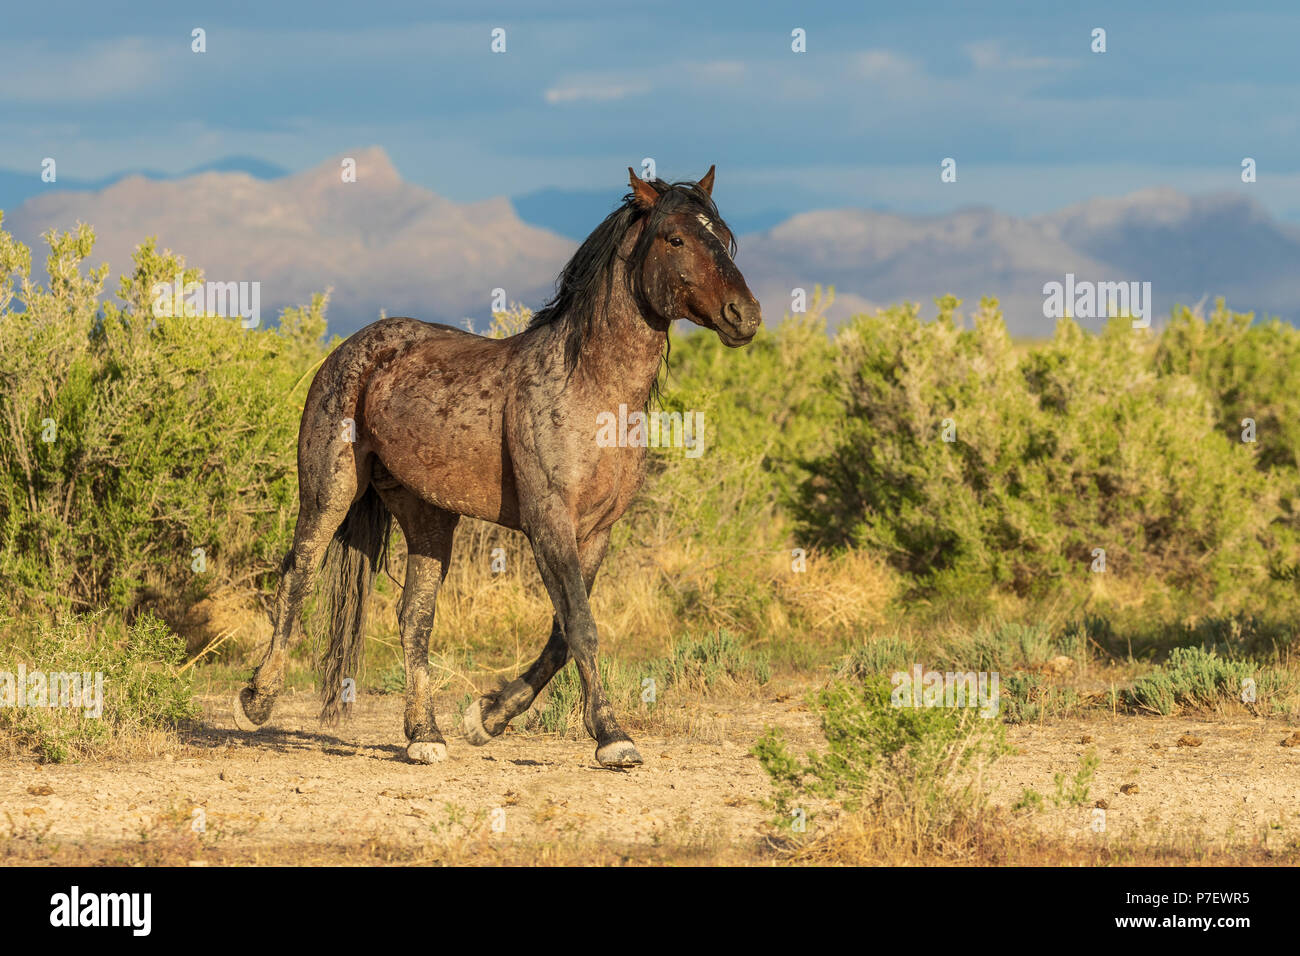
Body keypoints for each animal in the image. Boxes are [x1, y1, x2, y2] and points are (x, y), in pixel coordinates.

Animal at [233, 165, 762, 767]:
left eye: (723, 237)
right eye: (675, 239)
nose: (745, 316)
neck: (590, 388)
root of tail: (348, 351)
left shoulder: (596, 532)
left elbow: (561, 634)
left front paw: (487, 718)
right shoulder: (548, 524)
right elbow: (581, 626)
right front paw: (612, 737)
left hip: (428, 516)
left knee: (414, 618)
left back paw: (425, 736)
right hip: (330, 492)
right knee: (297, 577)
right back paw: (257, 701)